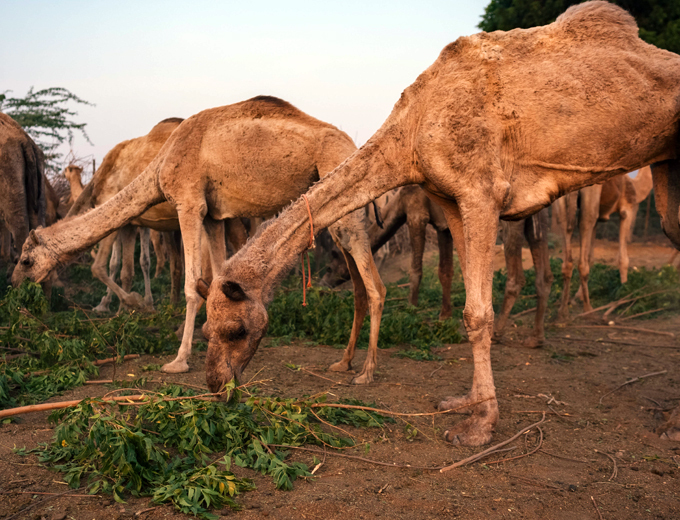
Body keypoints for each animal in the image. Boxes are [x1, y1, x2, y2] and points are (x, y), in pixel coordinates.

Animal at [12, 96, 386, 383]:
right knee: (357, 282)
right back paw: (344, 362)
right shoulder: (213, 216)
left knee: (375, 285)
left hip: (342, 191)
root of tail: (352, 144)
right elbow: (217, 276)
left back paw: (366, 372)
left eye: (26, 259)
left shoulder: (189, 202)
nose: (14, 282)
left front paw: (179, 358)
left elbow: (194, 283)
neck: (159, 164)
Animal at [555, 166, 653, 318]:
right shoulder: (626, 209)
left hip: (561, 202)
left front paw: (578, 296)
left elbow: (590, 257)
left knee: (565, 228)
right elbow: (623, 259)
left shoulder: (599, 219)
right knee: (585, 223)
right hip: (591, 194)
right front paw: (624, 290)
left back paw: (563, 310)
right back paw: (588, 309)